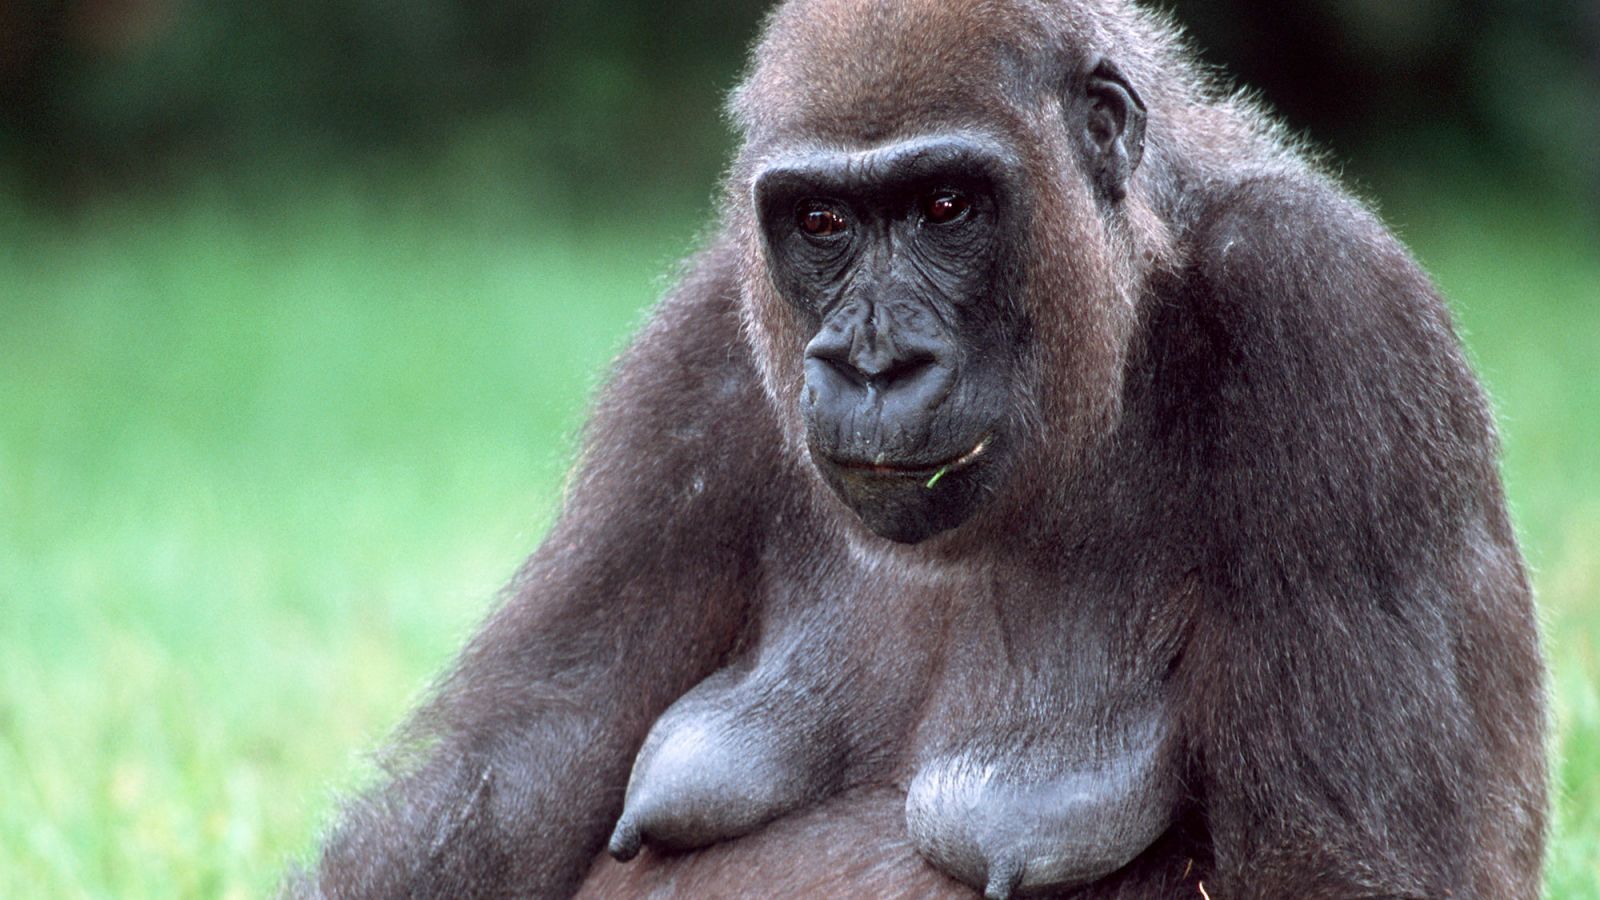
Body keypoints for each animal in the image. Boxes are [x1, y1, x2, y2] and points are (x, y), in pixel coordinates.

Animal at [297, 0, 1548, 897]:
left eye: (947, 205)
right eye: (821, 223)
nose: (872, 363)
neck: (1132, 293)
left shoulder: (1328, 304)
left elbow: (1338, 867)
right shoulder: (706, 341)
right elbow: (502, 783)